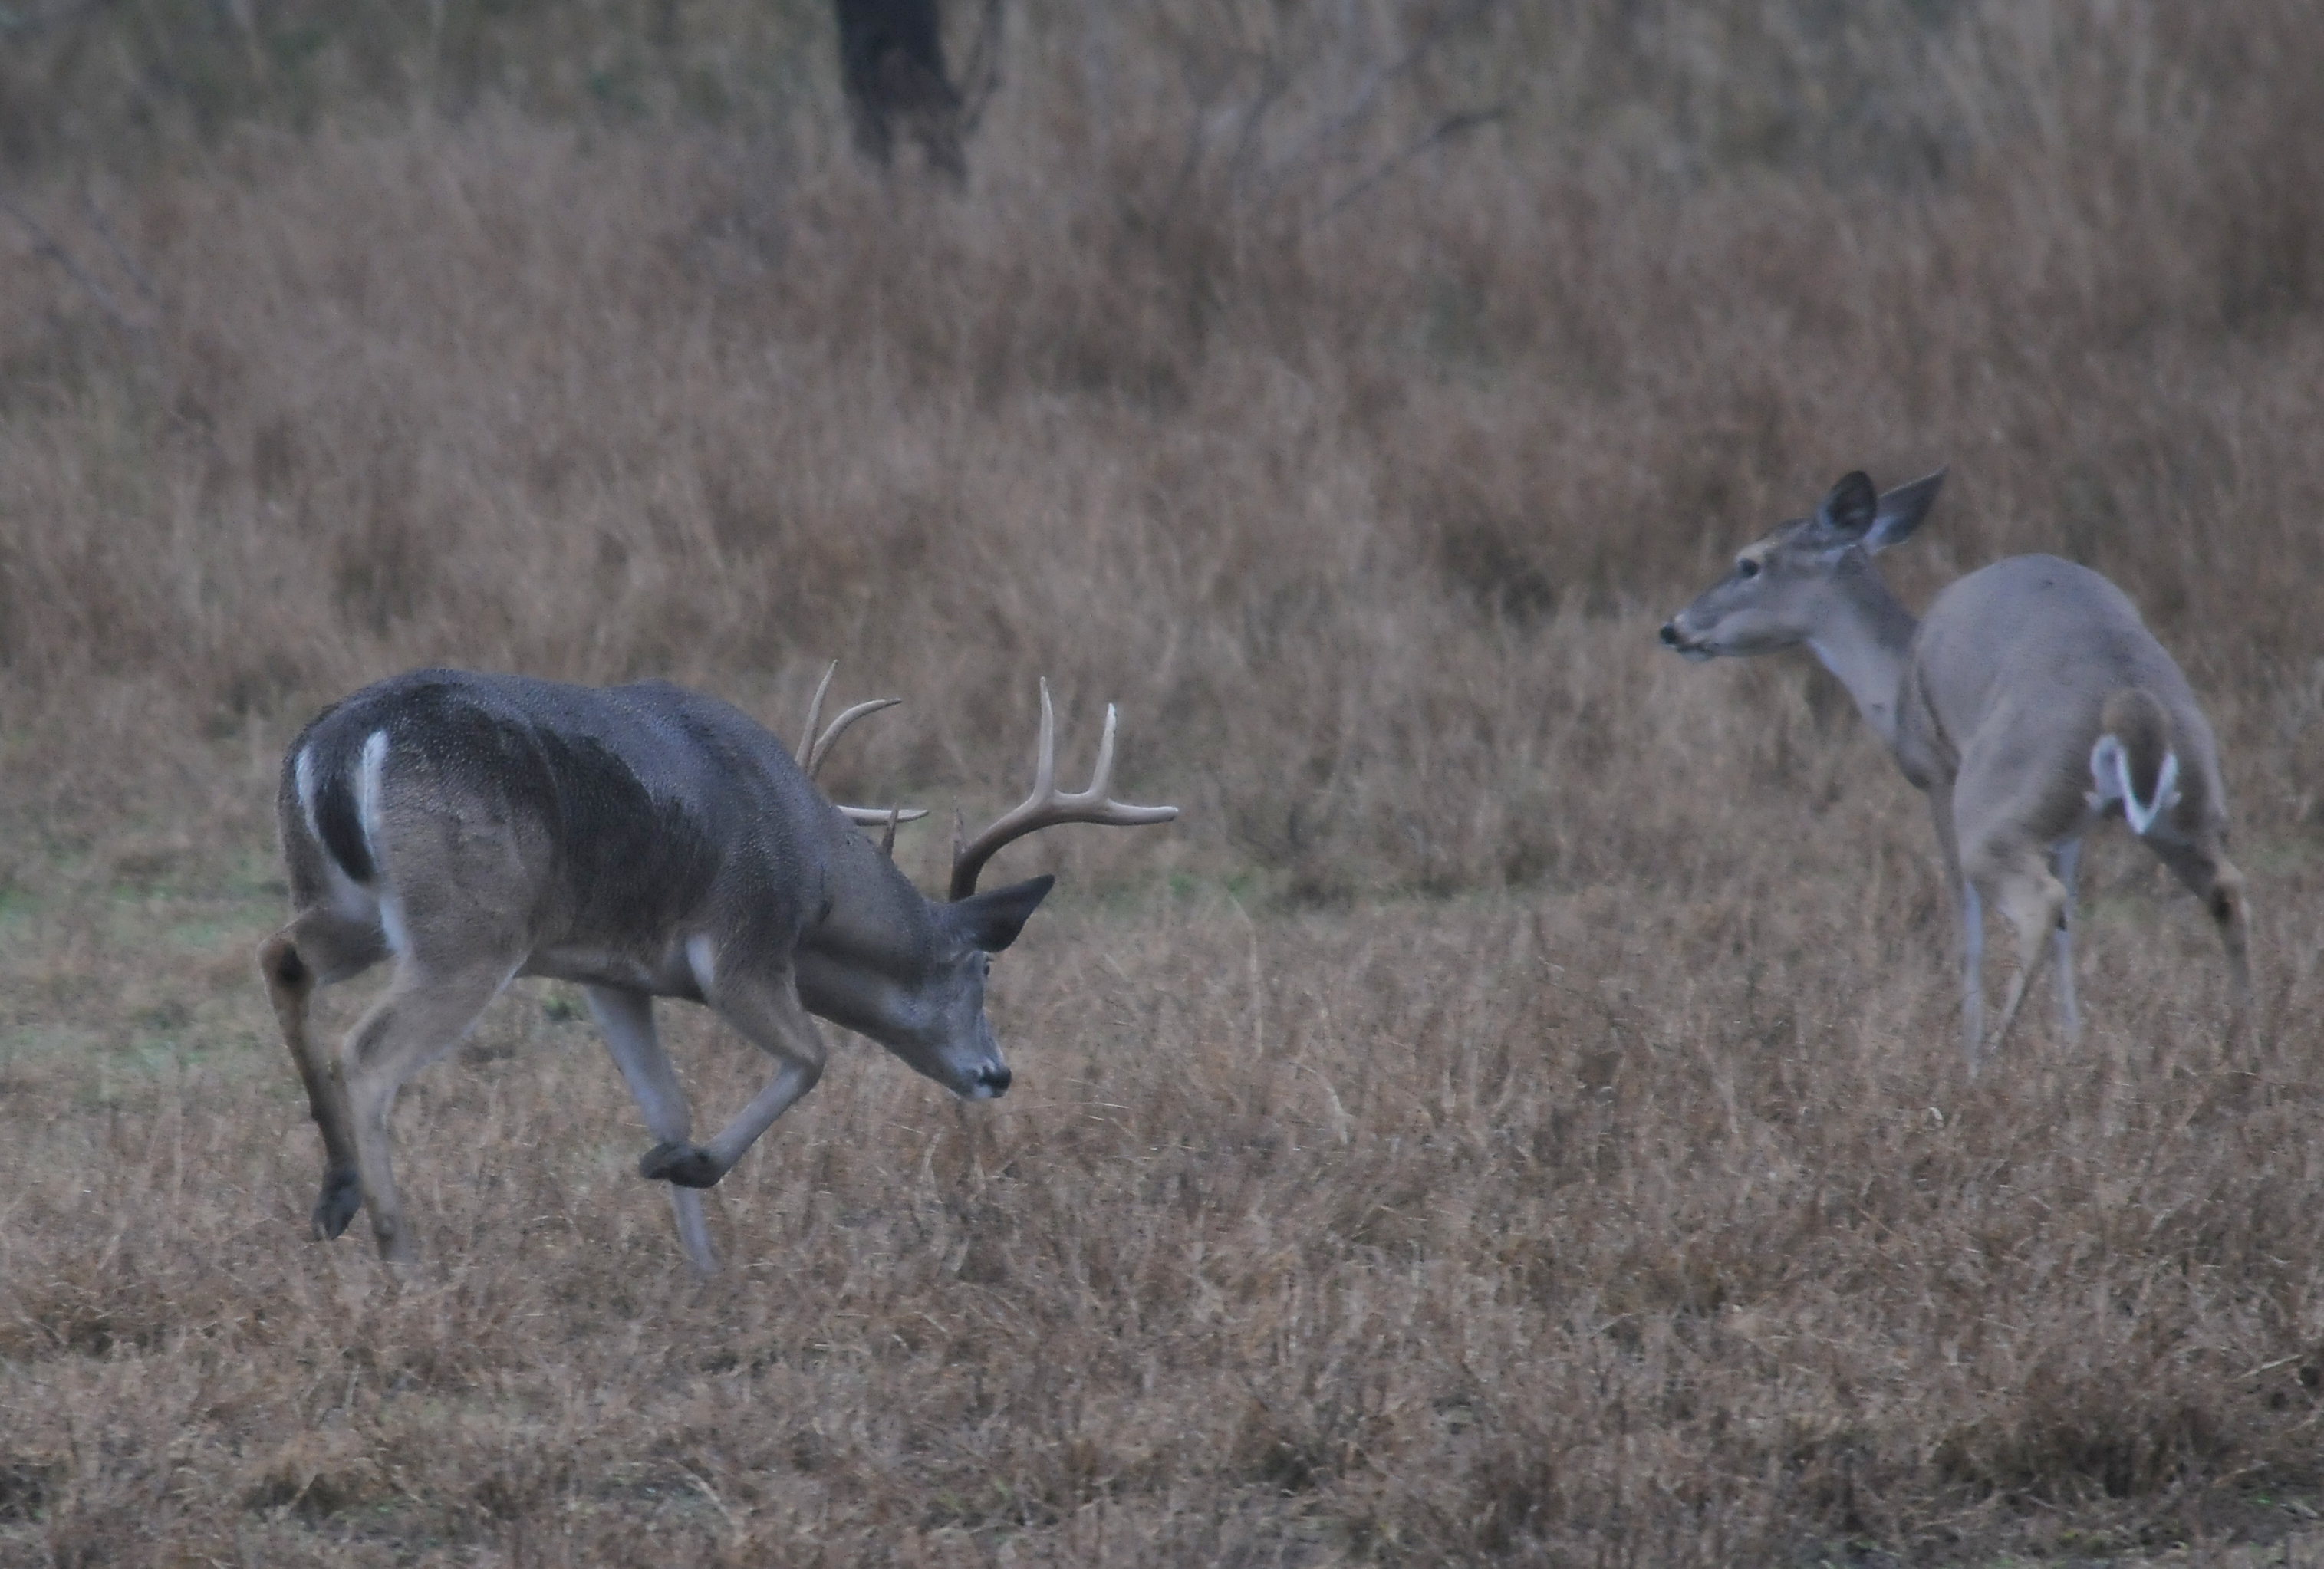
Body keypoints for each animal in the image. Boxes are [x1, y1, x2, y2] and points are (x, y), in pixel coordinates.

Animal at [257, 665, 1175, 1274]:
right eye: (983, 969)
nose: (998, 1073)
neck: (818, 880)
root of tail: (334, 749)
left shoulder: (610, 973)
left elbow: (667, 1104)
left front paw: (702, 1264)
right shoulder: (741, 947)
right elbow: (812, 1057)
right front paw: (688, 1170)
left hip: (350, 908)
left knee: (282, 959)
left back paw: (335, 1195)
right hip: (471, 929)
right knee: (367, 1054)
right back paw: (401, 1255)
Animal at [1659, 469, 2250, 1071]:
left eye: (1749, 563)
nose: (1674, 628)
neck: (1894, 685)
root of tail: (2128, 702)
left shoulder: (1938, 773)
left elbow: (1968, 929)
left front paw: (1975, 1048)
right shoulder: (2069, 829)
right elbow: (2071, 931)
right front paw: (2072, 1047)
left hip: (1995, 801)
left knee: (2038, 903)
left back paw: (1988, 1059)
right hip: (2182, 802)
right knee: (2224, 887)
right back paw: (2244, 1043)